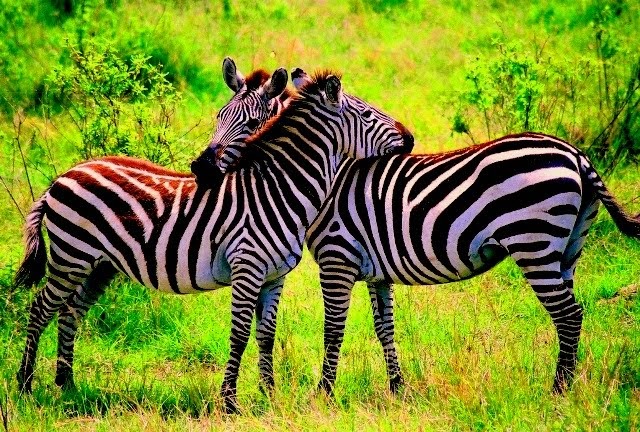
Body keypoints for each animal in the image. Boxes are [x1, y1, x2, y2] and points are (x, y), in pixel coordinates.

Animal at [14, 68, 414, 413]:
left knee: (71, 311)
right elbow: (239, 335)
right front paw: (230, 402)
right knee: (40, 309)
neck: (280, 189)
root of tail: (62, 177)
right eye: (367, 114)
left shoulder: (274, 276)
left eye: (251, 123)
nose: (410, 137)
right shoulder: (247, 268)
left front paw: (269, 395)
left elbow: (266, 334)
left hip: (99, 266)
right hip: (71, 255)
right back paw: (25, 385)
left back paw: (67, 385)